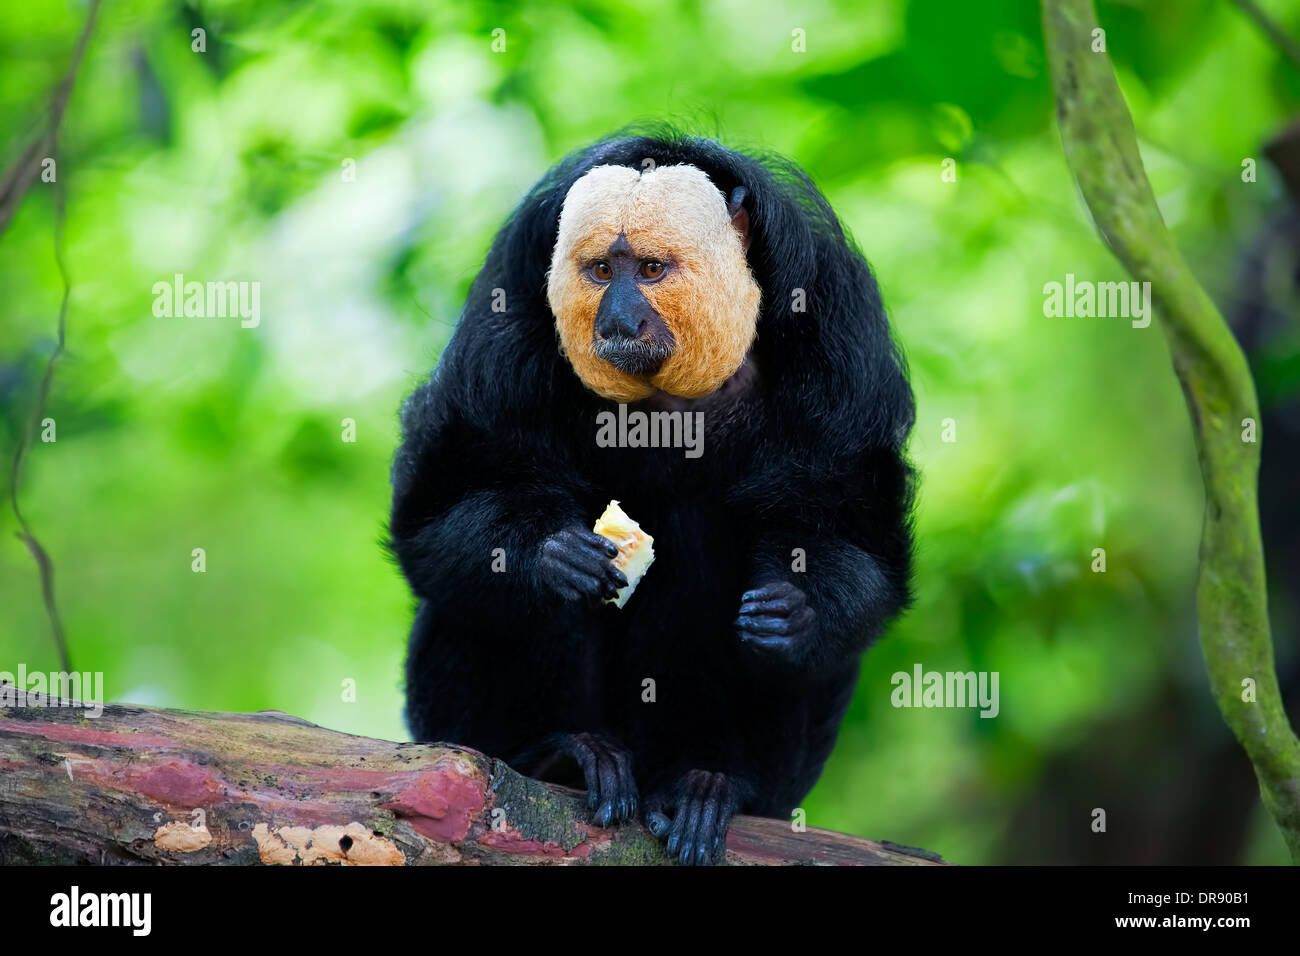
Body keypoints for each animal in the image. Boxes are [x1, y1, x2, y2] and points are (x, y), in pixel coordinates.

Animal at [389, 130, 915, 865]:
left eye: (650, 269)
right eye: (600, 272)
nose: (617, 320)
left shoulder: (839, 325)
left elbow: (845, 528)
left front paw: (796, 612)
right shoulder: (508, 302)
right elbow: (436, 513)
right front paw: (551, 557)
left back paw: (712, 783)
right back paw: (563, 755)